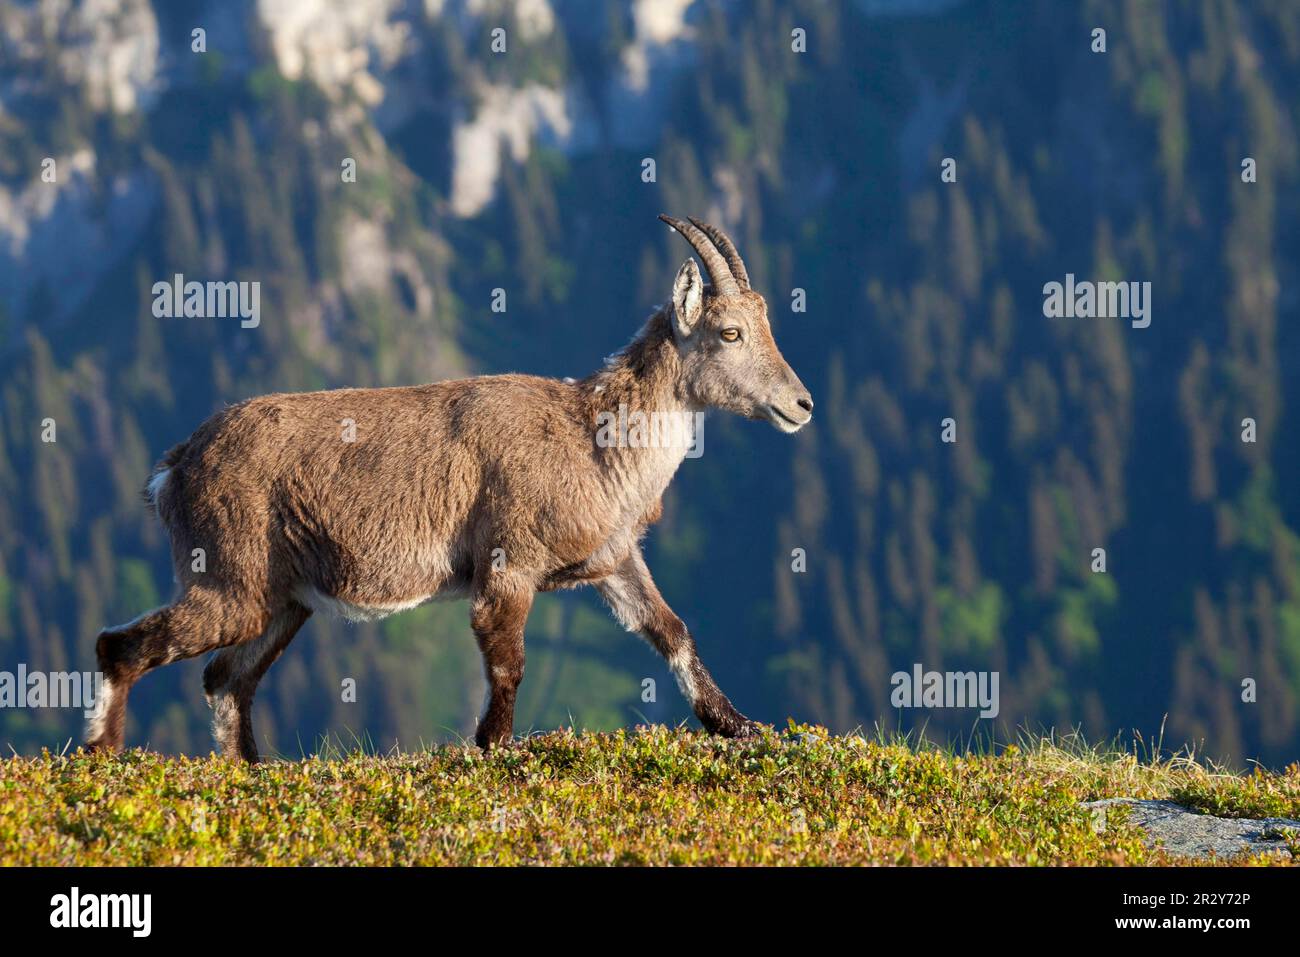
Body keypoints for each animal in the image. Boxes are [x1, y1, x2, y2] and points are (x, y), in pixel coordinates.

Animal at [85, 215, 814, 761]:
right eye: (730, 332)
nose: (801, 404)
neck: (594, 440)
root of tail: (175, 466)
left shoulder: (612, 561)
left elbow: (671, 631)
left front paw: (737, 725)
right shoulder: (508, 565)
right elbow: (508, 662)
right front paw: (493, 748)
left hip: (282, 600)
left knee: (225, 679)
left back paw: (253, 768)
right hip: (228, 580)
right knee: (122, 646)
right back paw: (105, 755)